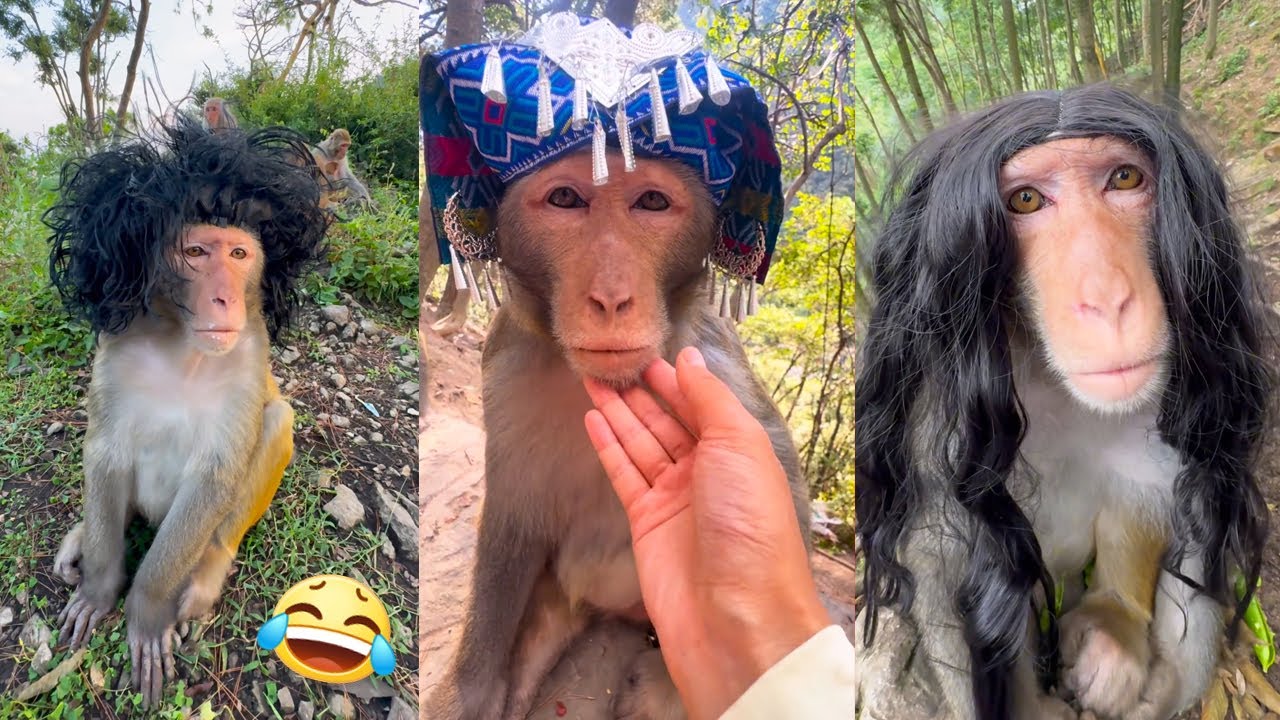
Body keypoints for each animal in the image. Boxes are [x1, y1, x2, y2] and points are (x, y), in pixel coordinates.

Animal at [43, 117, 328, 707]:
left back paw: (206, 572)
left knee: (276, 421)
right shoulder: (116, 350)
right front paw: (98, 589)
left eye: (238, 255)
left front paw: (147, 612)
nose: (225, 299)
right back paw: (82, 538)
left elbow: (215, 475)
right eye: (196, 251)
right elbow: (104, 453)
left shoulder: (247, 357)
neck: (182, 346)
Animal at [855, 84, 1273, 720]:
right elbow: (941, 568)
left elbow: (1156, 491)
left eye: (1124, 178)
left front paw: (1115, 626)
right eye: (1026, 200)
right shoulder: (930, 404)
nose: (1107, 298)